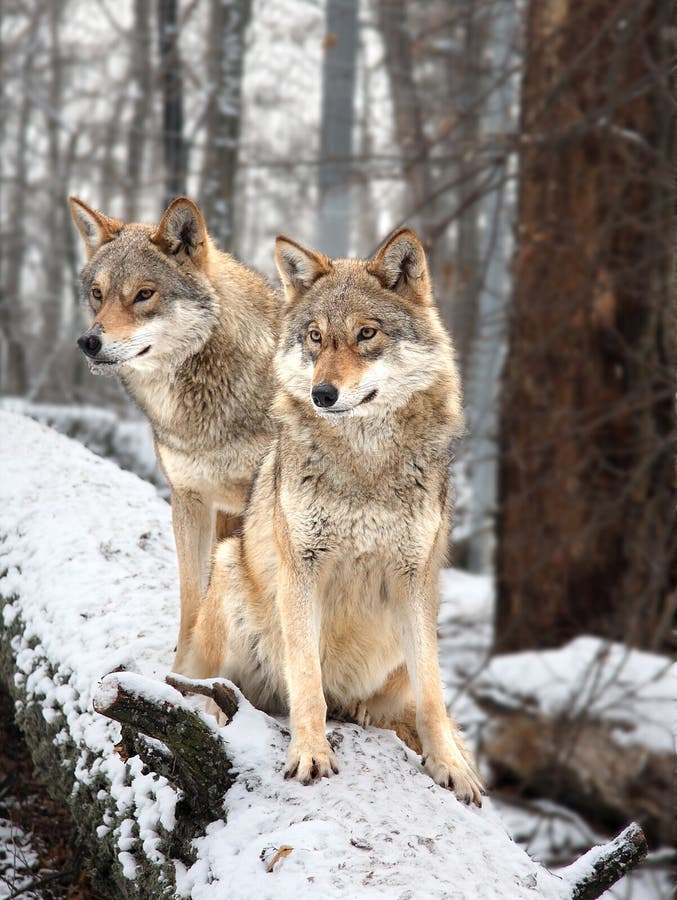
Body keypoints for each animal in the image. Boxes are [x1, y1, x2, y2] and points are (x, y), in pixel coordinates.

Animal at [69, 196, 280, 671]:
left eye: (144, 294)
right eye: (98, 294)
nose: (89, 342)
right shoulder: (189, 499)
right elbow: (192, 601)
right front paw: (182, 673)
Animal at [185, 227, 483, 804]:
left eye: (366, 333)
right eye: (316, 338)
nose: (323, 393)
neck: (364, 463)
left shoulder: (414, 580)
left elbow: (434, 696)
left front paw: (450, 765)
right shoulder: (303, 569)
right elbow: (306, 681)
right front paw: (310, 754)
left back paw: (366, 712)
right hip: (230, 567)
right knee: (205, 682)